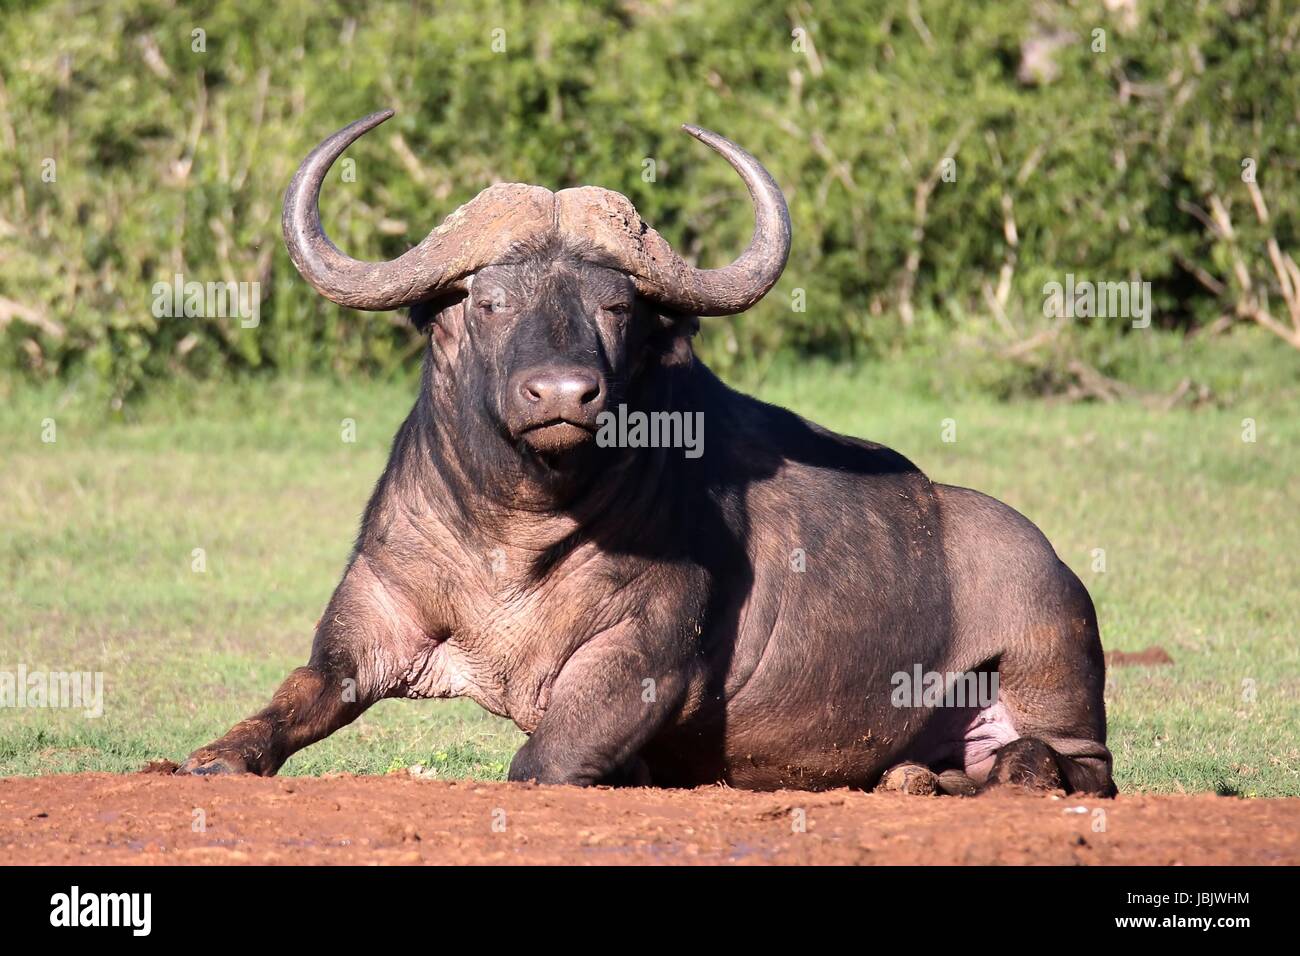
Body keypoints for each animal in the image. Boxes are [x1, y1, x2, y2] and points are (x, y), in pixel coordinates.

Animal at [179, 110, 1115, 796]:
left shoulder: (650, 655)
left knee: (1076, 765)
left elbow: (541, 763)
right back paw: (913, 777)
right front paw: (211, 756)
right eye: (488, 301)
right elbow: (296, 696)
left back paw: (995, 774)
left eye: (617, 306)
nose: (563, 394)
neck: (515, 536)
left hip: (1050, 660)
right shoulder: (371, 622)